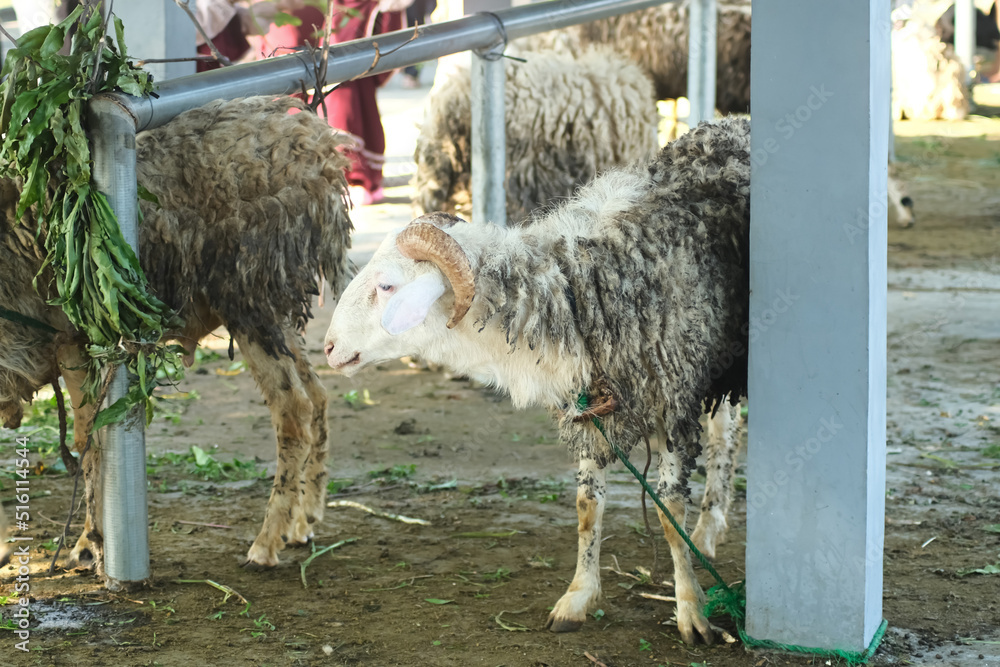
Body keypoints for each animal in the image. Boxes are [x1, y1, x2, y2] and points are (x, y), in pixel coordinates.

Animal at [0, 95, 354, 574]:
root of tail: (322, 157)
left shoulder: (72, 338)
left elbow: (88, 438)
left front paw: (90, 544)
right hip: (276, 303)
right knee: (317, 394)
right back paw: (304, 520)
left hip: (248, 293)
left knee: (293, 408)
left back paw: (266, 542)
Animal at [325, 117, 752, 644]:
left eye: (387, 286)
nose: (328, 347)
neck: (579, 287)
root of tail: (735, 121)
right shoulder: (590, 408)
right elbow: (587, 507)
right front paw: (577, 599)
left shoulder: (671, 399)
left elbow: (670, 514)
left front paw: (692, 611)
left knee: (725, 435)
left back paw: (709, 527)